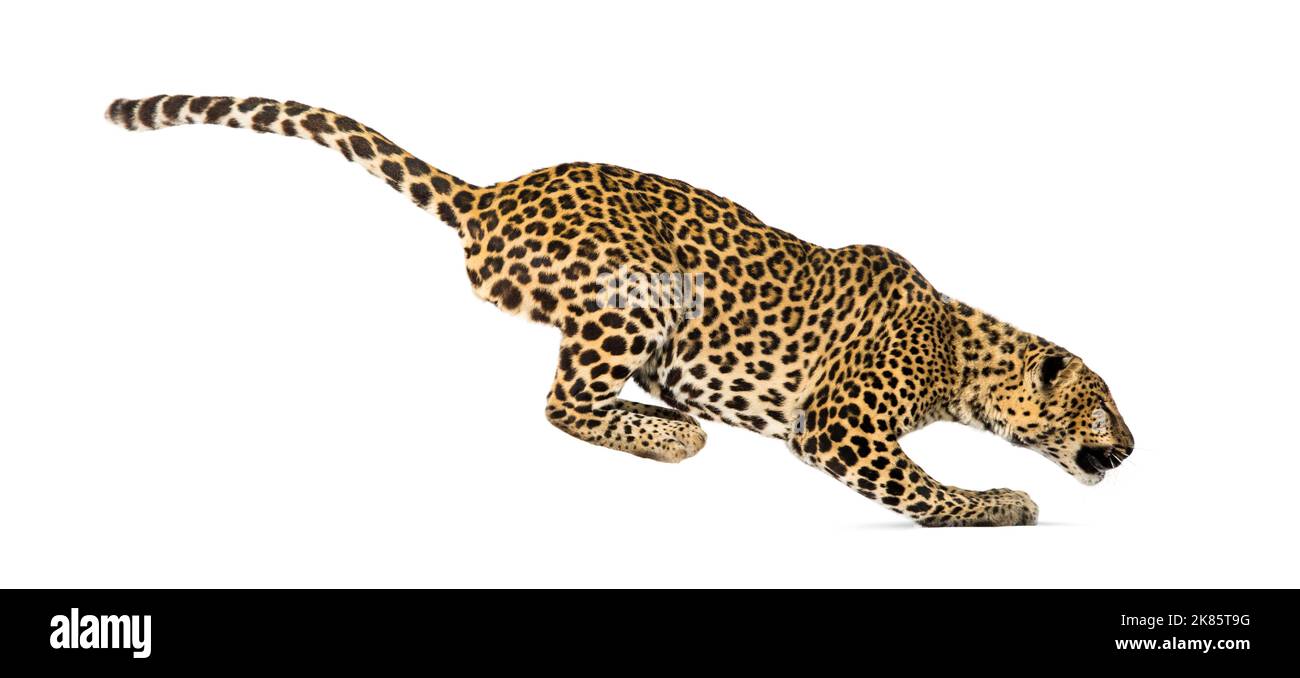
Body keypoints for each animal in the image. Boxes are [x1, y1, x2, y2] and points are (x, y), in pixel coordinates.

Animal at [105, 95, 1135, 527]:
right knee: (564, 402)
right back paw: (676, 437)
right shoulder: (837, 425)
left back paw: (672, 421)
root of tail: (493, 195)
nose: (1131, 449)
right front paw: (1000, 504)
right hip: (638, 291)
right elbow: (924, 487)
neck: (964, 356)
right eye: (1104, 404)